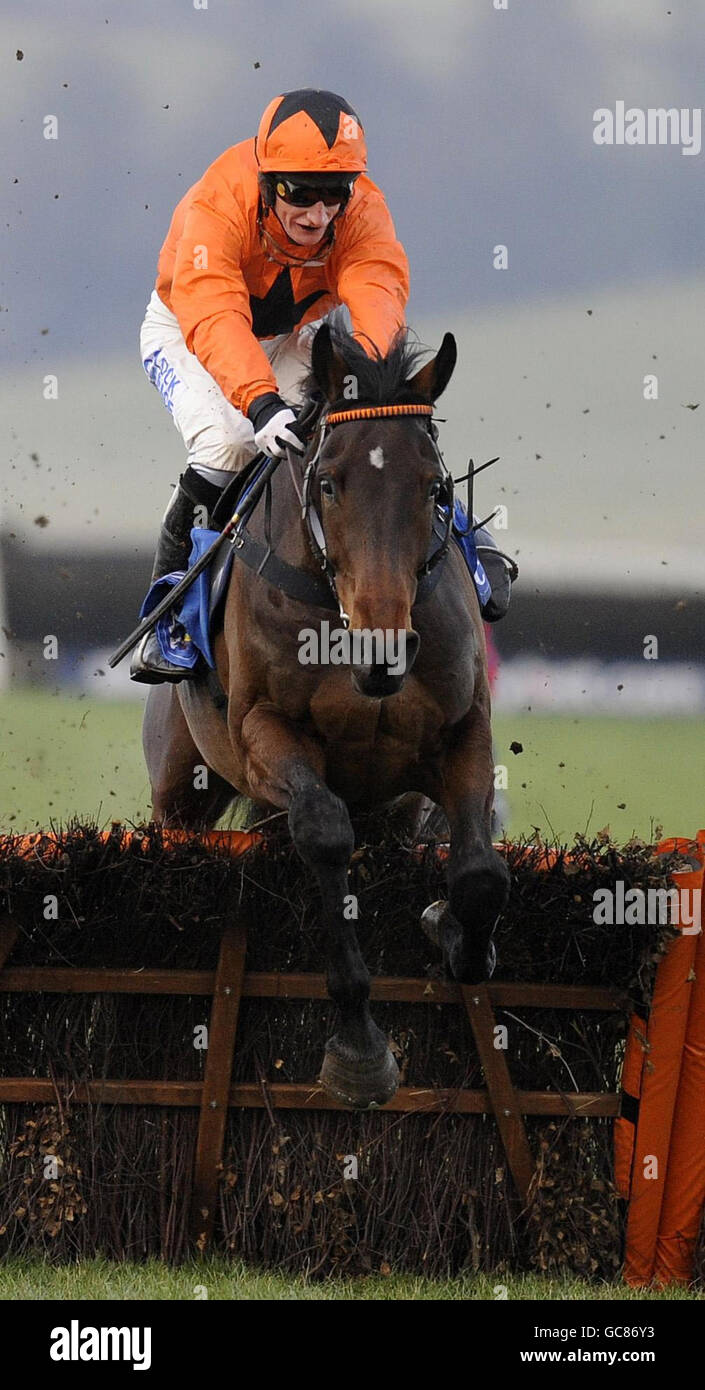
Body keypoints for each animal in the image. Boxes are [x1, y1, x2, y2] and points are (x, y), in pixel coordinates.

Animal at [142, 323, 511, 1109]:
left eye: (436, 488)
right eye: (328, 483)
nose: (383, 650)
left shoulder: (463, 732)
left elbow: (478, 876)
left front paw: (453, 930)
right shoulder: (264, 735)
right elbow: (324, 832)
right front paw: (359, 1048)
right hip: (179, 789)